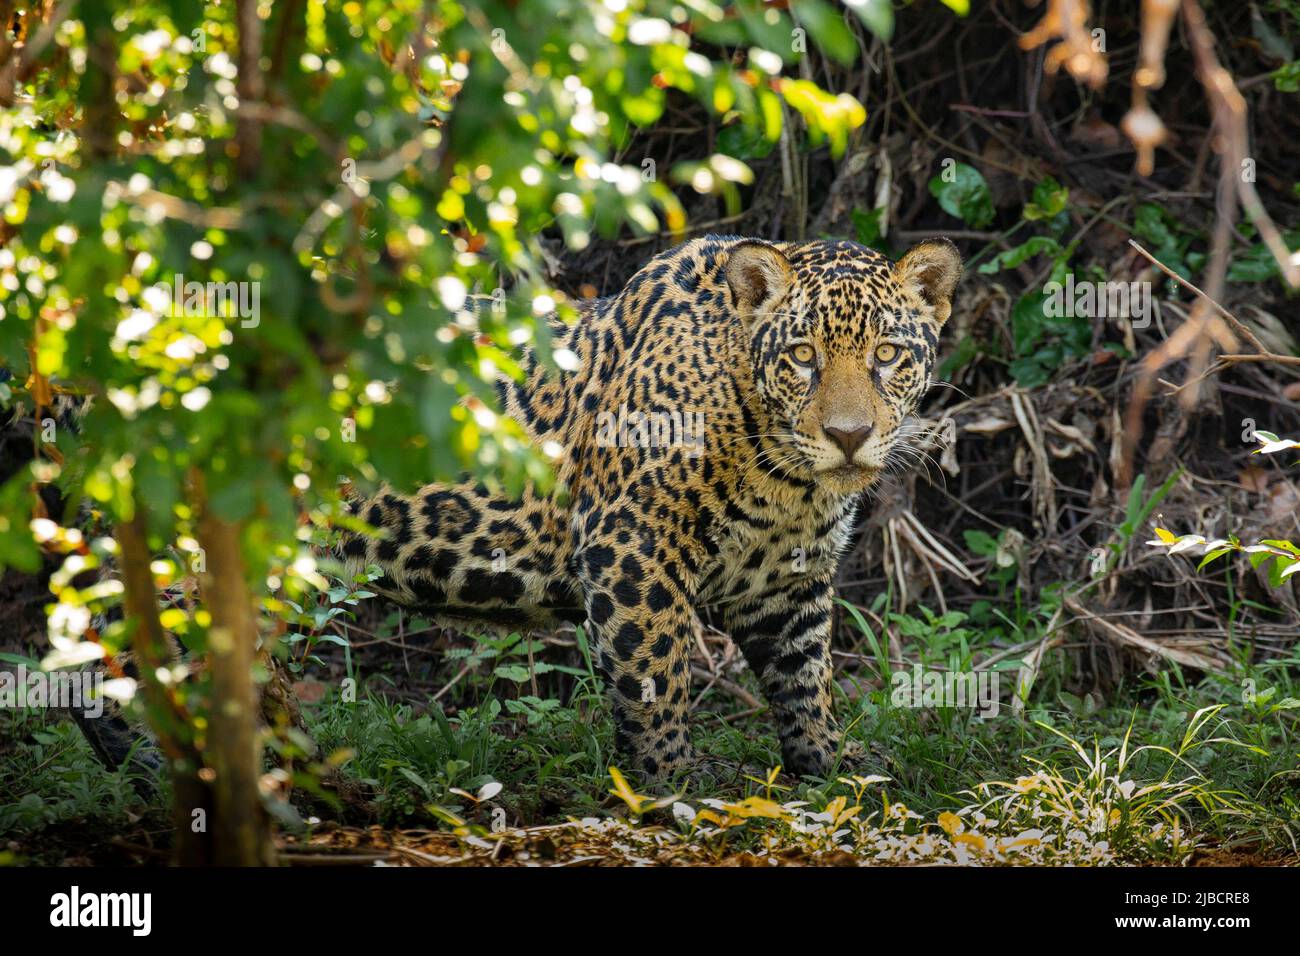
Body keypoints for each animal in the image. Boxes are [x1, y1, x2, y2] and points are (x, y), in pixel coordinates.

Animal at [338, 234, 961, 781]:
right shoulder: (631, 545)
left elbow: (806, 672)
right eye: (803, 356)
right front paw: (674, 775)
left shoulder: (789, 576)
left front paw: (830, 760)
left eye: (887, 354)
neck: (789, 483)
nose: (848, 435)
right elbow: (654, 667)